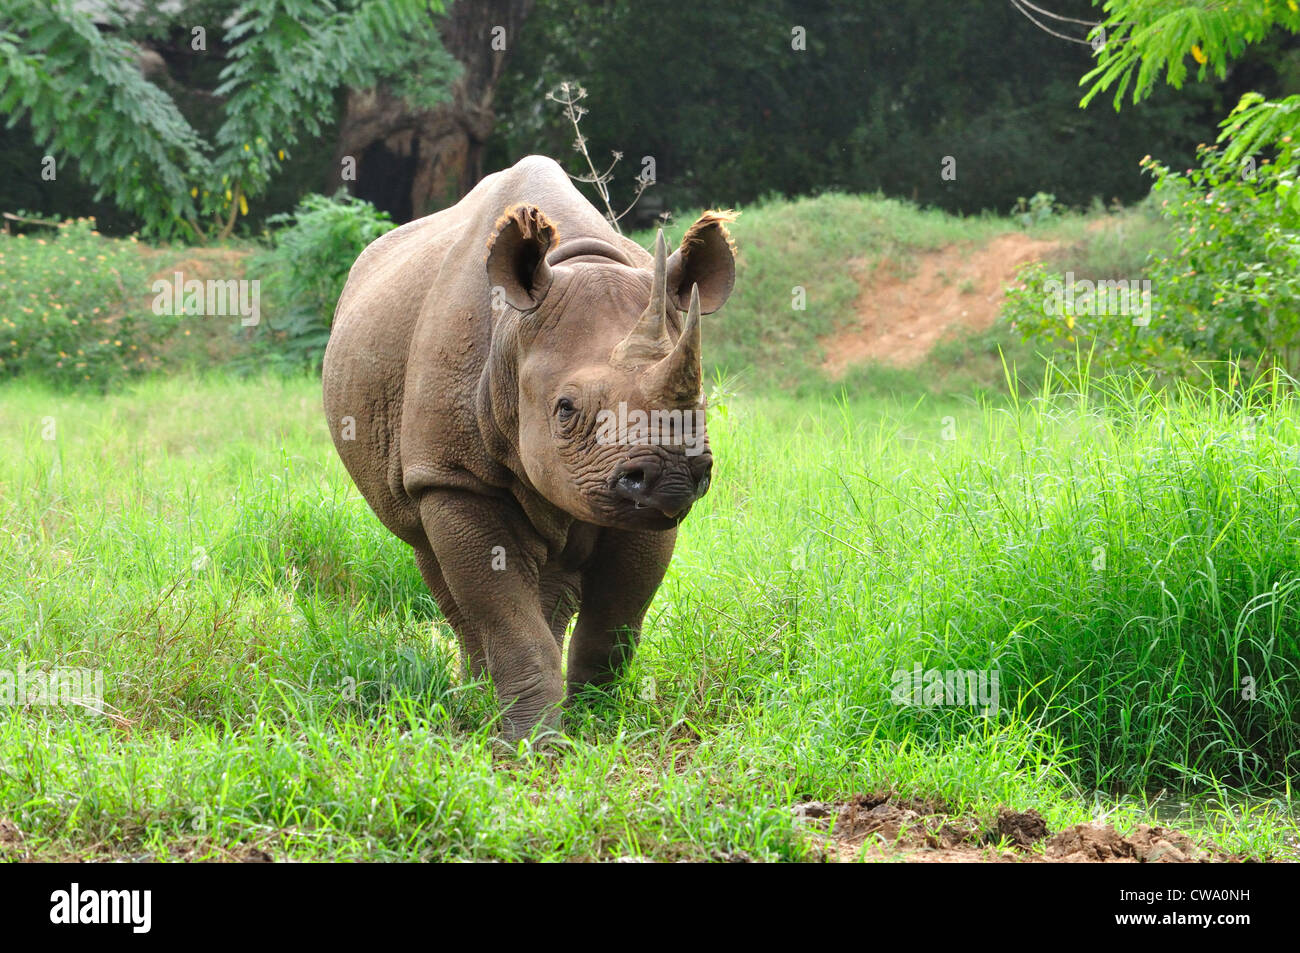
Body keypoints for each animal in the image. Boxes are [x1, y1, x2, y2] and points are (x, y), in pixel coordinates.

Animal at [322, 155, 735, 739]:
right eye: (565, 409)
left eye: (700, 406)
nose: (671, 476)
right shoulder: (452, 476)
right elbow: (504, 613)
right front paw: (533, 741)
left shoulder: (643, 508)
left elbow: (616, 619)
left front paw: (595, 724)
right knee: (434, 560)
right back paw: (476, 699)